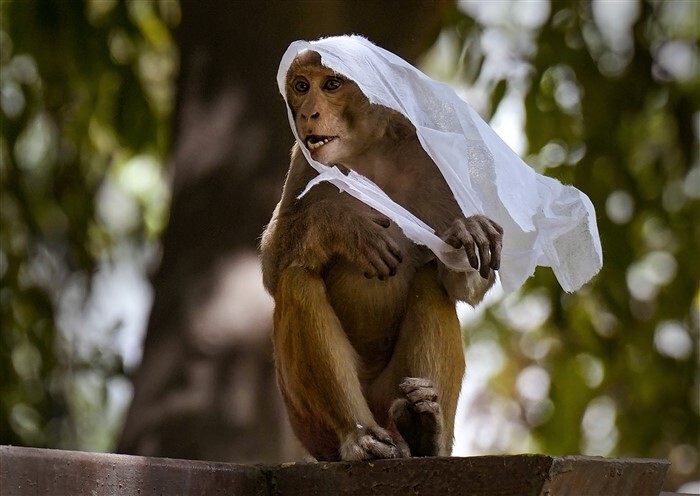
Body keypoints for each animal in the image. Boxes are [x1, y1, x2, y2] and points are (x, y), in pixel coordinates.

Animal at [260, 50, 503, 461]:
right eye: (301, 86)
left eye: (331, 84)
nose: (307, 113)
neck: (367, 152)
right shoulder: (305, 161)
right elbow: (273, 269)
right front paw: (344, 227)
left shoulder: (431, 161)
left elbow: (459, 280)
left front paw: (469, 231)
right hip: (306, 422)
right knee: (296, 280)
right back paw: (359, 435)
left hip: (390, 392)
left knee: (431, 281)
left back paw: (424, 430)